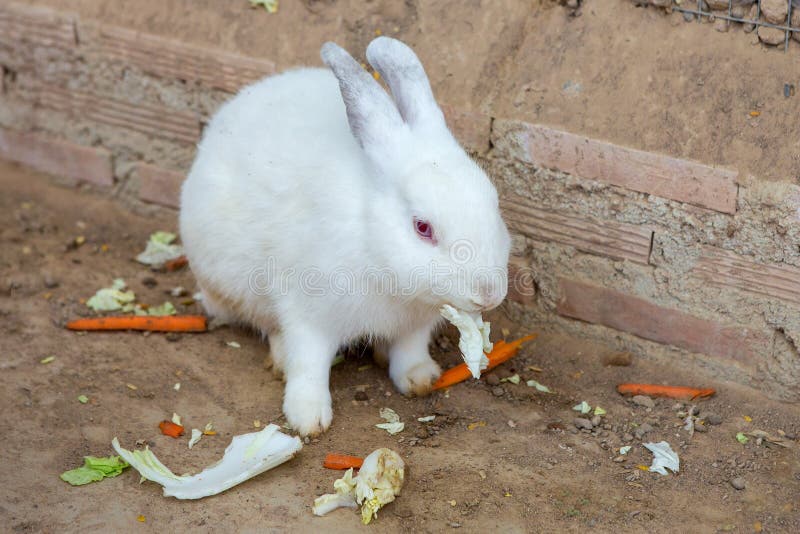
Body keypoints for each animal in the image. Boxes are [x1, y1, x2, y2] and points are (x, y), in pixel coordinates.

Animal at [179, 37, 510, 436]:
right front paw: (307, 418)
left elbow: (409, 350)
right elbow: (309, 364)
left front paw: (420, 379)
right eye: (422, 227)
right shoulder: (308, 312)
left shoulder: (416, 324)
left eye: (494, 202)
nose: (490, 294)